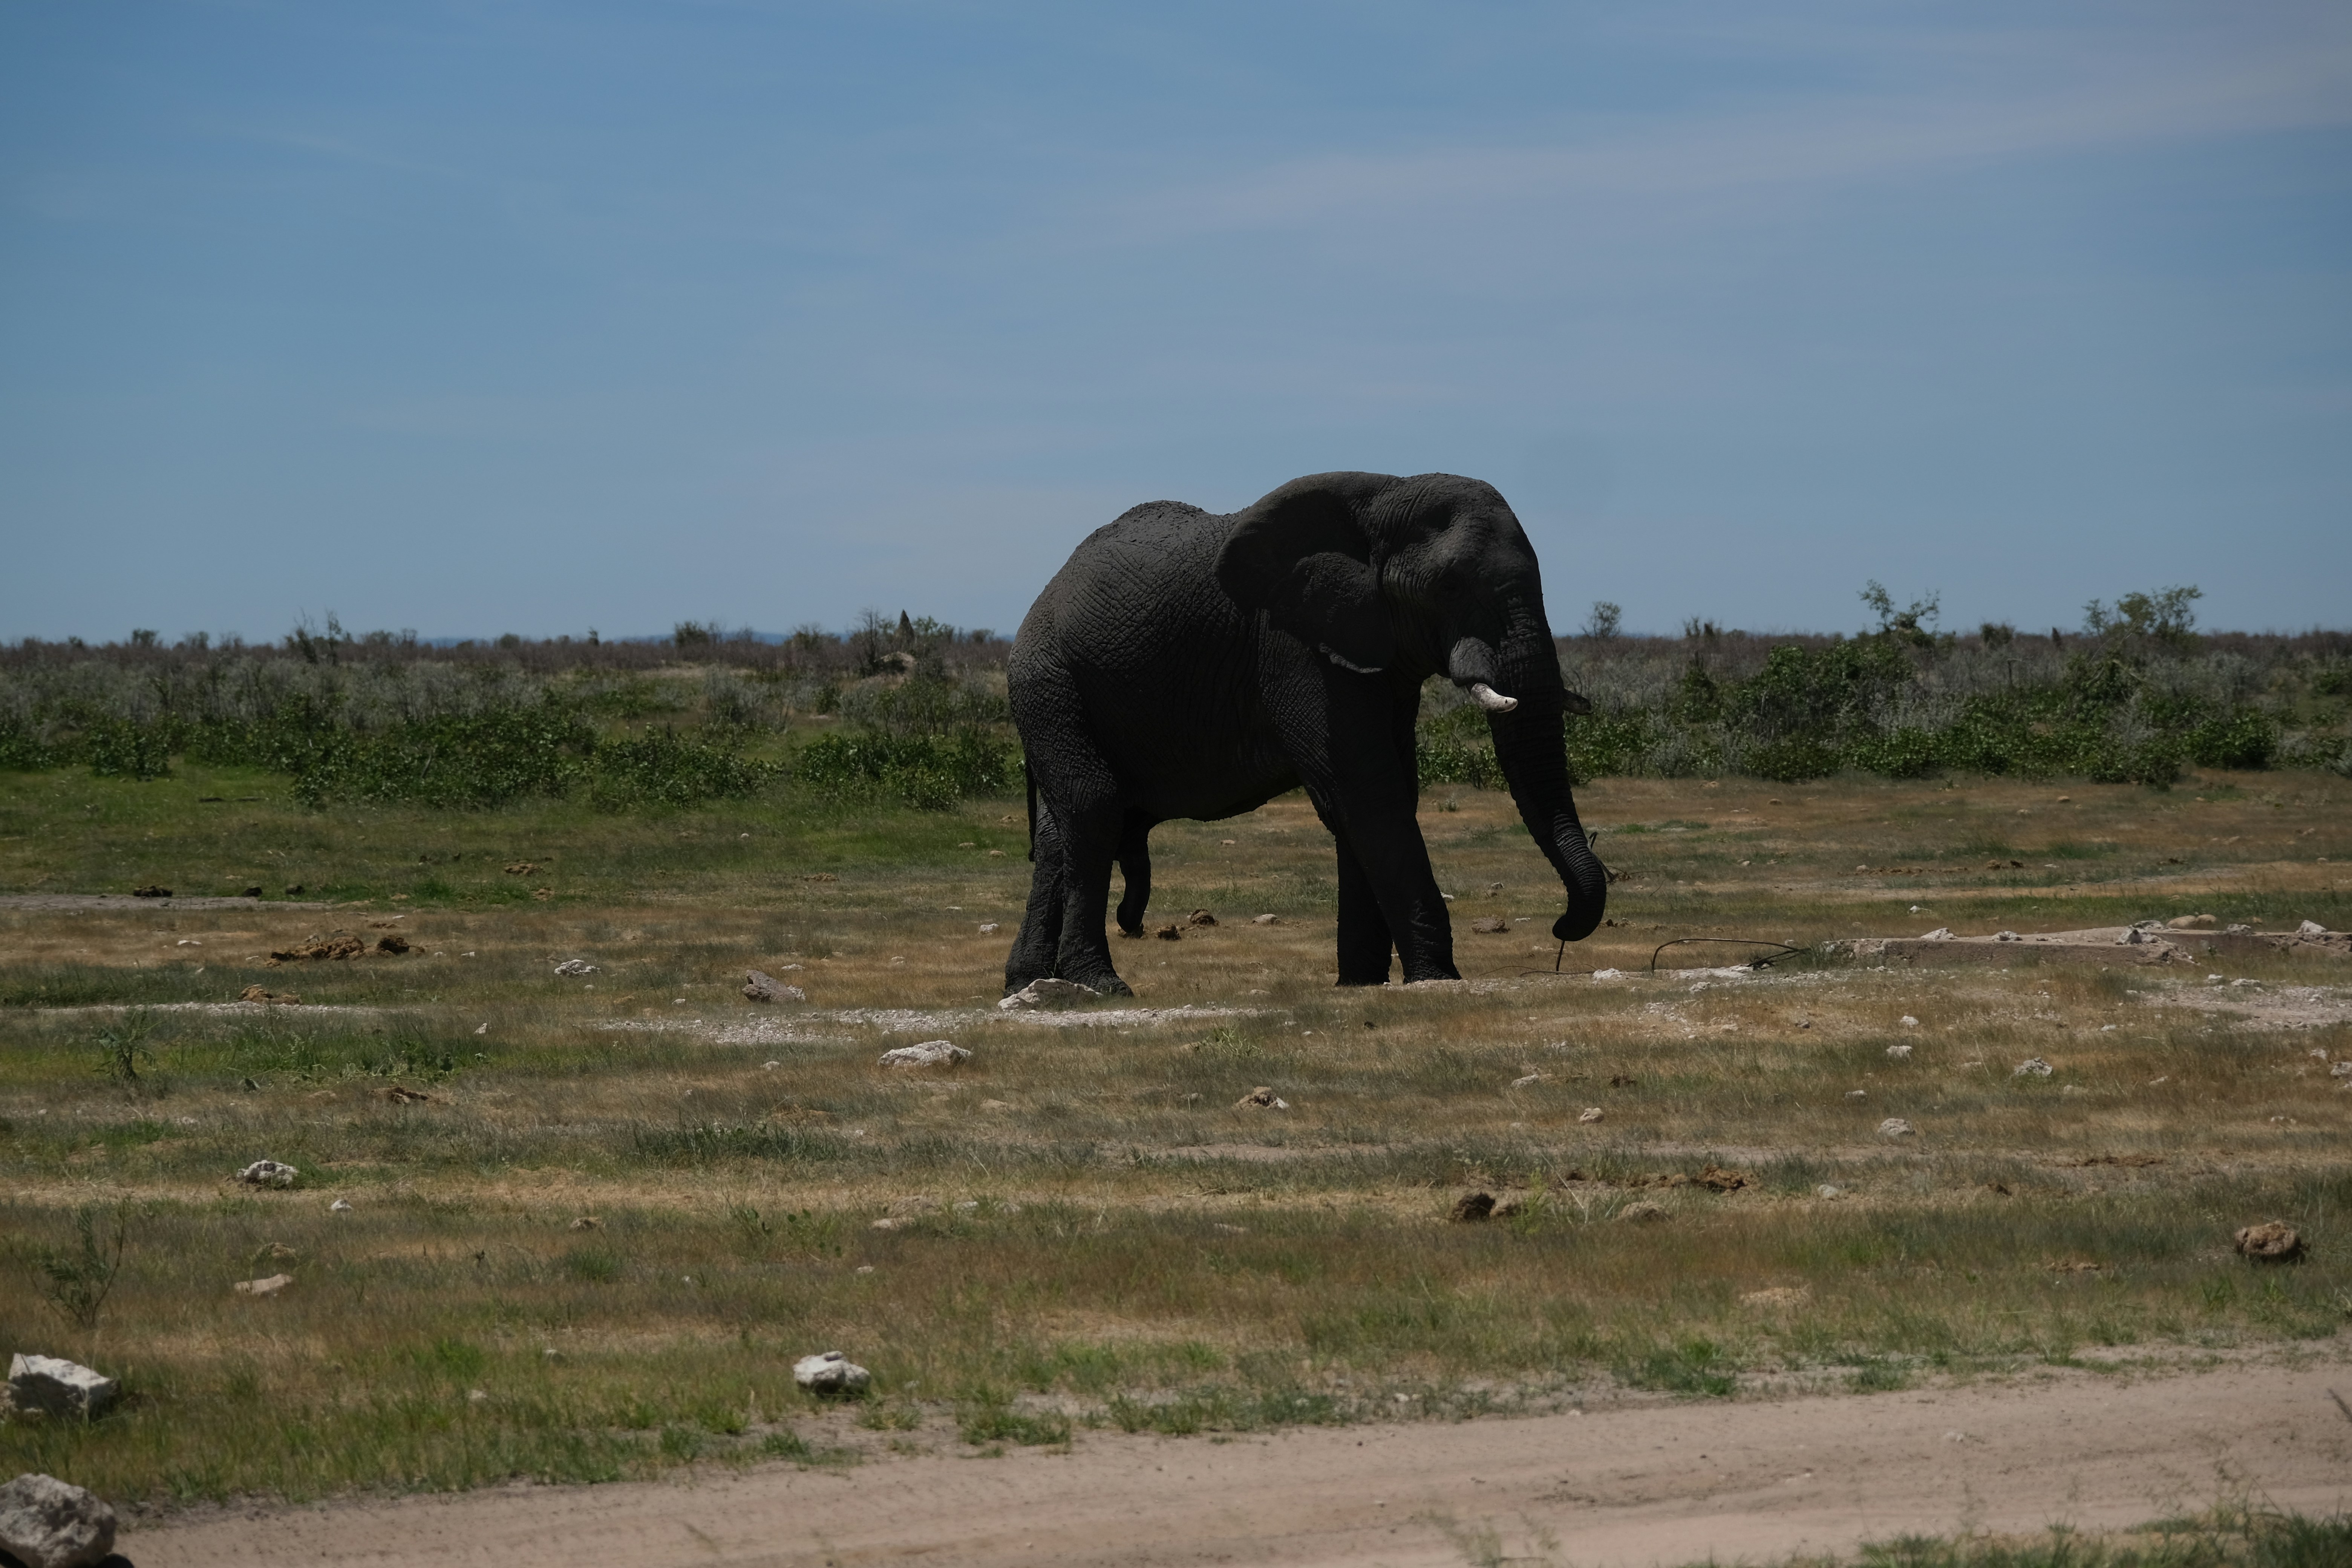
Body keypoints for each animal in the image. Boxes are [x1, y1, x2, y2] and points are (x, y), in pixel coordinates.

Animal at [1003, 470, 1608, 997]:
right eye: (1450, 585)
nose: (1561, 926)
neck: (1386, 495)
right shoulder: (1292, 649)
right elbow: (1367, 792)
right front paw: (1436, 978)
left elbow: (1377, 795)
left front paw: (1361, 983)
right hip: (1048, 682)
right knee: (1094, 807)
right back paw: (1100, 985)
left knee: (1060, 833)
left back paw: (1028, 985)